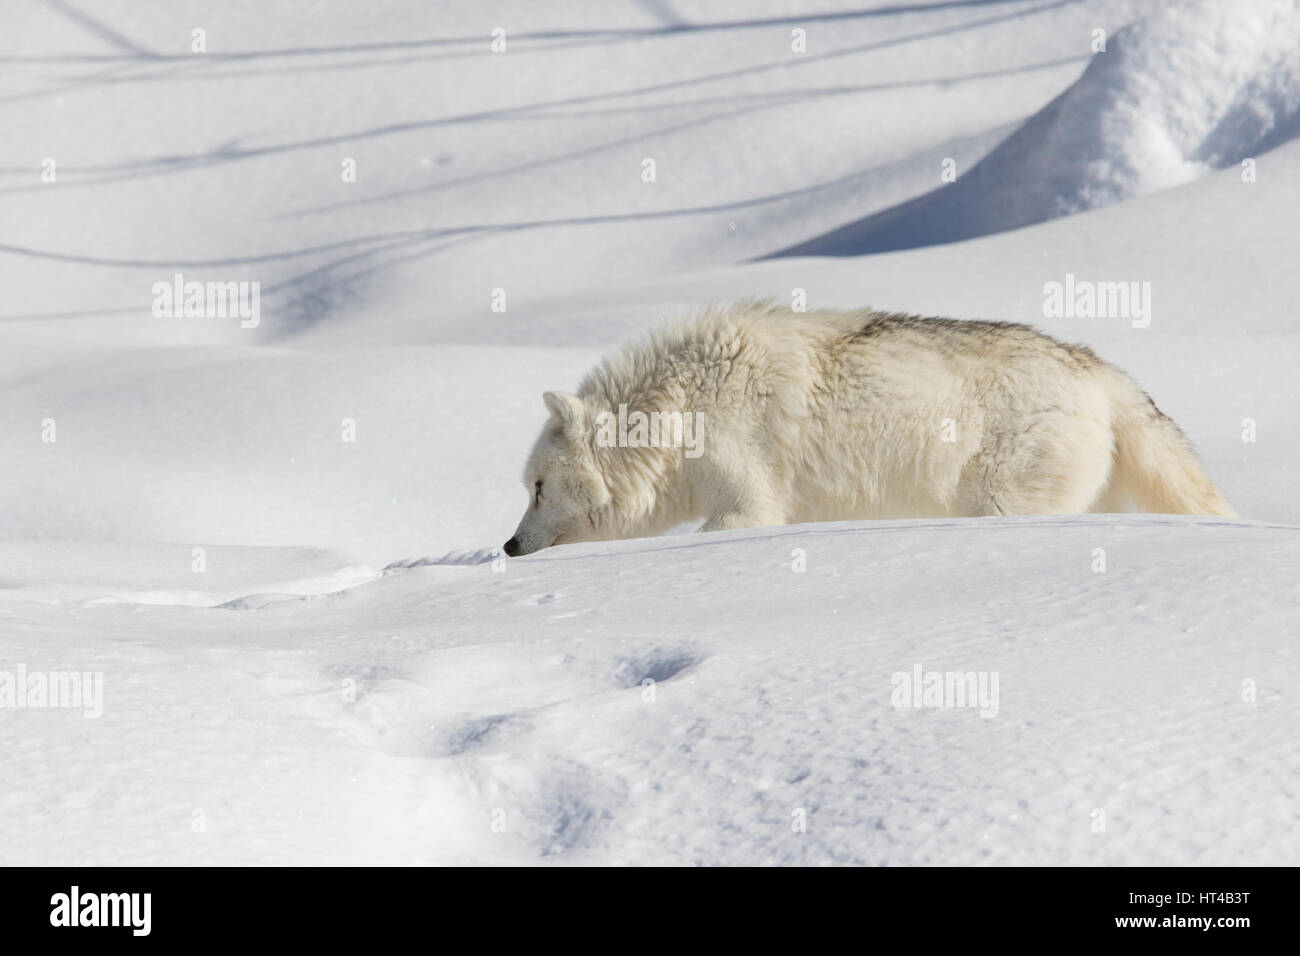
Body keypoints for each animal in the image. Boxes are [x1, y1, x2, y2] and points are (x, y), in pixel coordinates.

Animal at [502, 301, 1234, 556]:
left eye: (538, 488)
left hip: (997, 502)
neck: (681, 410)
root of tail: (1100, 370)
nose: (508, 547)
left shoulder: (751, 508)